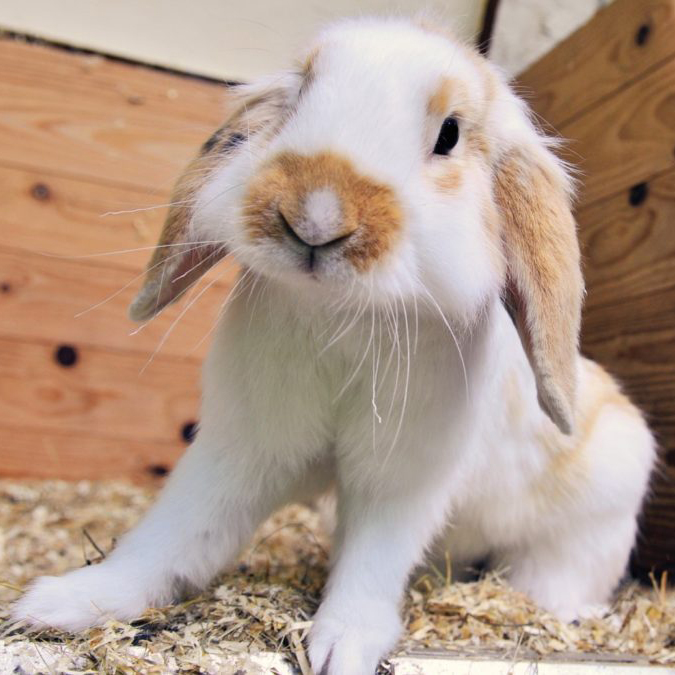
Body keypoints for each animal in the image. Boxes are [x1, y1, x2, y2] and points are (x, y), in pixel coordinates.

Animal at [13, 17, 656, 674]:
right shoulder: (241, 449)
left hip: (585, 532)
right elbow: (179, 529)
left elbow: (373, 560)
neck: (340, 317)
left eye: (449, 134)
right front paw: (65, 602)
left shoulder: (400, 479)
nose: (316, 215)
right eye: (301, 92)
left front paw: (341, 646)